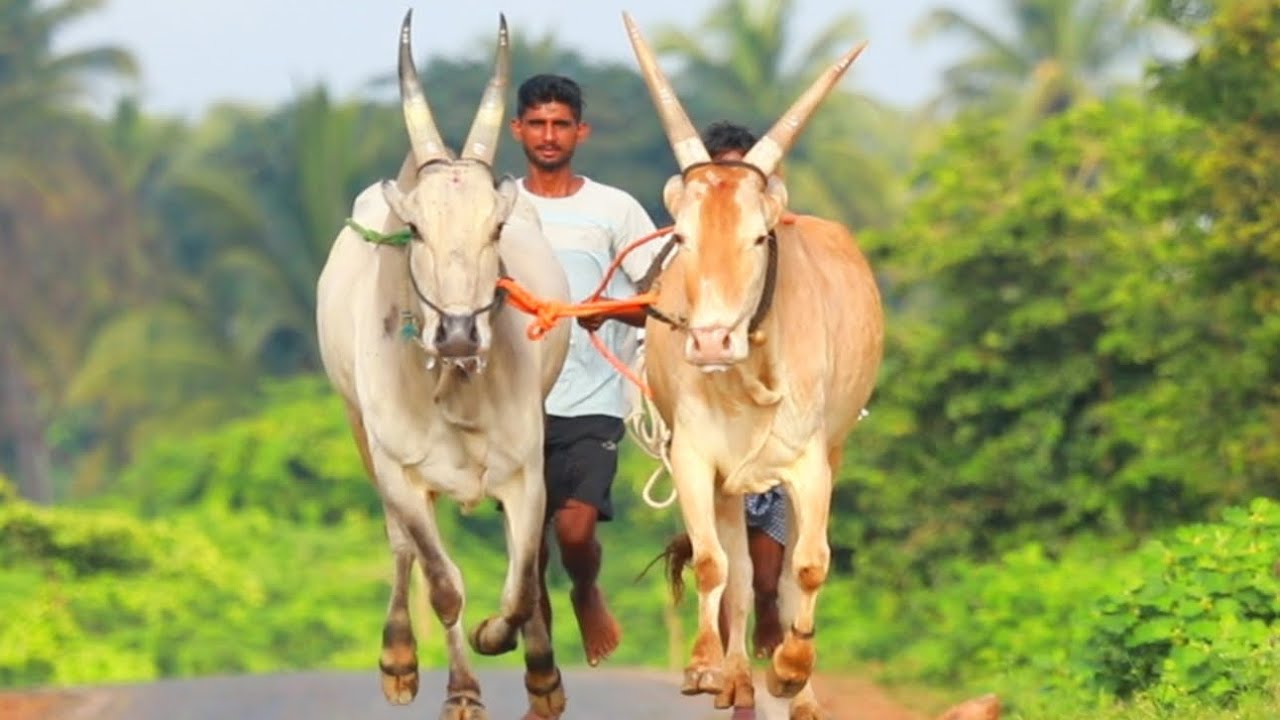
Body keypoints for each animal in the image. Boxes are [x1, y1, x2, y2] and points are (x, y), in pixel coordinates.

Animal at [315, 11, 571, 720]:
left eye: (496, 231)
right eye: (418, 232)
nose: (457, 333)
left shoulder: (525, 469)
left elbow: (520, 583)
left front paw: (526, 661)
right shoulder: (401, 474)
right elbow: (444, 584)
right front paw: (460, 689)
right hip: (362, 434)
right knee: (403, 549)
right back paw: (400, 658)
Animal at [620, 13, 884, 720]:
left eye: (760, 237)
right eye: (680, 237)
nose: (711, 342)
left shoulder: (810, 462)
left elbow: (809, 565)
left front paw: (792, 670)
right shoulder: (693, 457)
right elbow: (715, 565)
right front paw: (706, 665)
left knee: (782, 569)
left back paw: (796, 687)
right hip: (727, 482)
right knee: (737, 570)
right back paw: (735, 674)